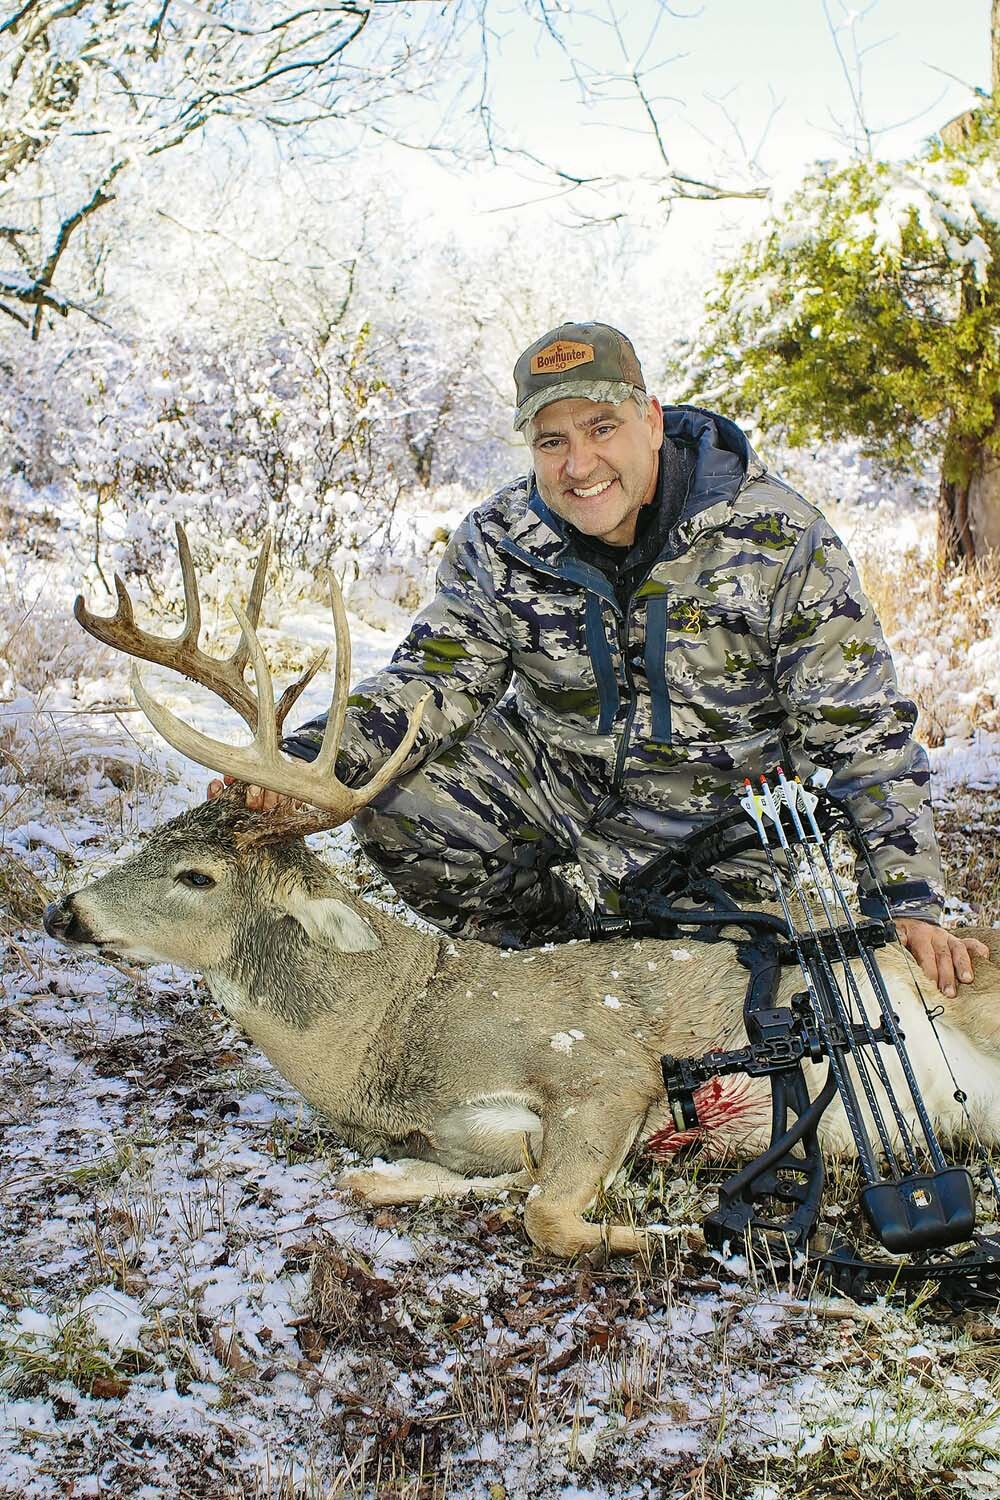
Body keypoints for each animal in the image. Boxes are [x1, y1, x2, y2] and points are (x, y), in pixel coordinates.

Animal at [42, 527, 1000, 1260]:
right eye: (156, 839)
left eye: (197, 876)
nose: (63, 910)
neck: (393, 1035)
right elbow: (425, 1181)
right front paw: (407, 1176)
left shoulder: (606, 1068)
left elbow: (547, 1213)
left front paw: (678, 1232)